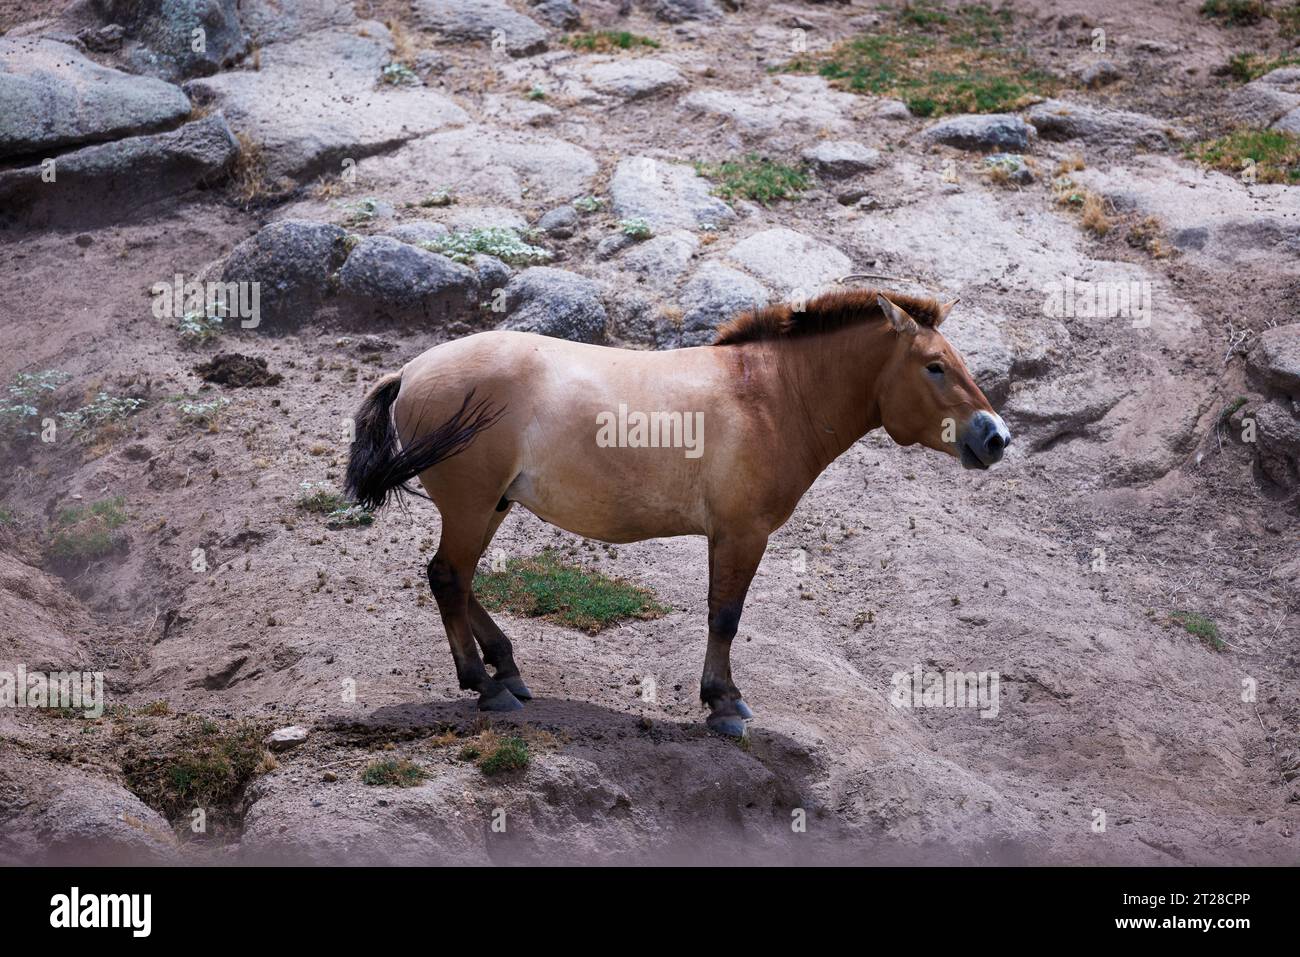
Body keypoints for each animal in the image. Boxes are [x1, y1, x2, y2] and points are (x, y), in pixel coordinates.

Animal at [344, 288, 1011, 736]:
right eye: (934, 366)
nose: (997, 437)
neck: (770, 395)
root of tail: (410, 370)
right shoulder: (740, 535)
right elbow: (725, 617)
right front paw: (723, 702)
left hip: (492, 505)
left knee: (458, 580)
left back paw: (505, 670)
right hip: (472, 504)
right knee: (449, 578)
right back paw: (484, 686)